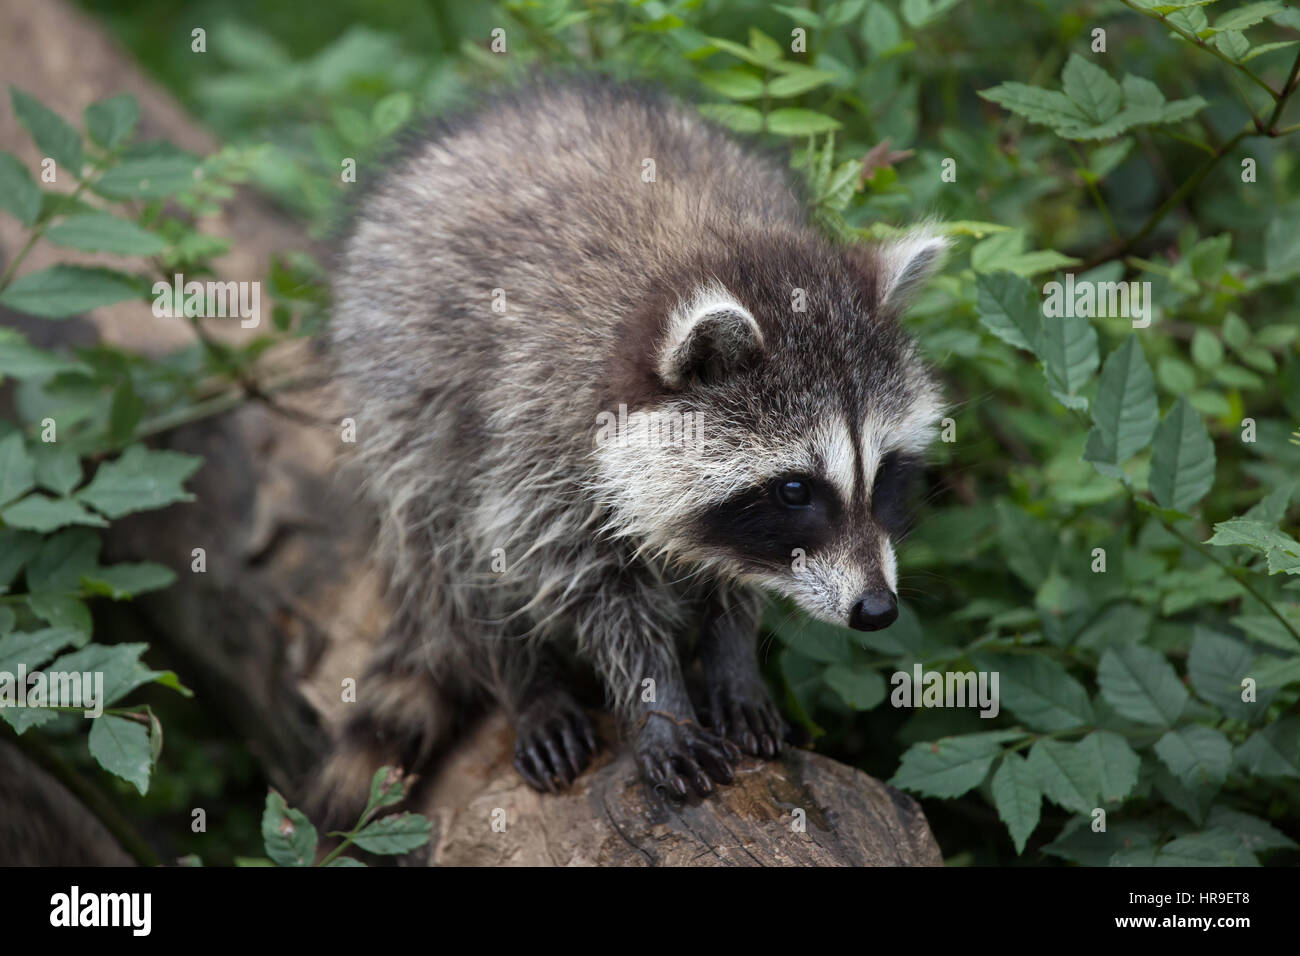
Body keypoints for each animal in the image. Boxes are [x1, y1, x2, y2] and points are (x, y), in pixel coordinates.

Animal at [314, 78, 946, 824]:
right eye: (796, 489)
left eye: (885, 474)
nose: (876, 610)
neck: (709, 249)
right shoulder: (536, 430)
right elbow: (585, 581)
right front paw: (656, 701)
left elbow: (728, 579)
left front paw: (731, 660)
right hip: (398, 386)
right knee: (449, 541)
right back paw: (525, 683)